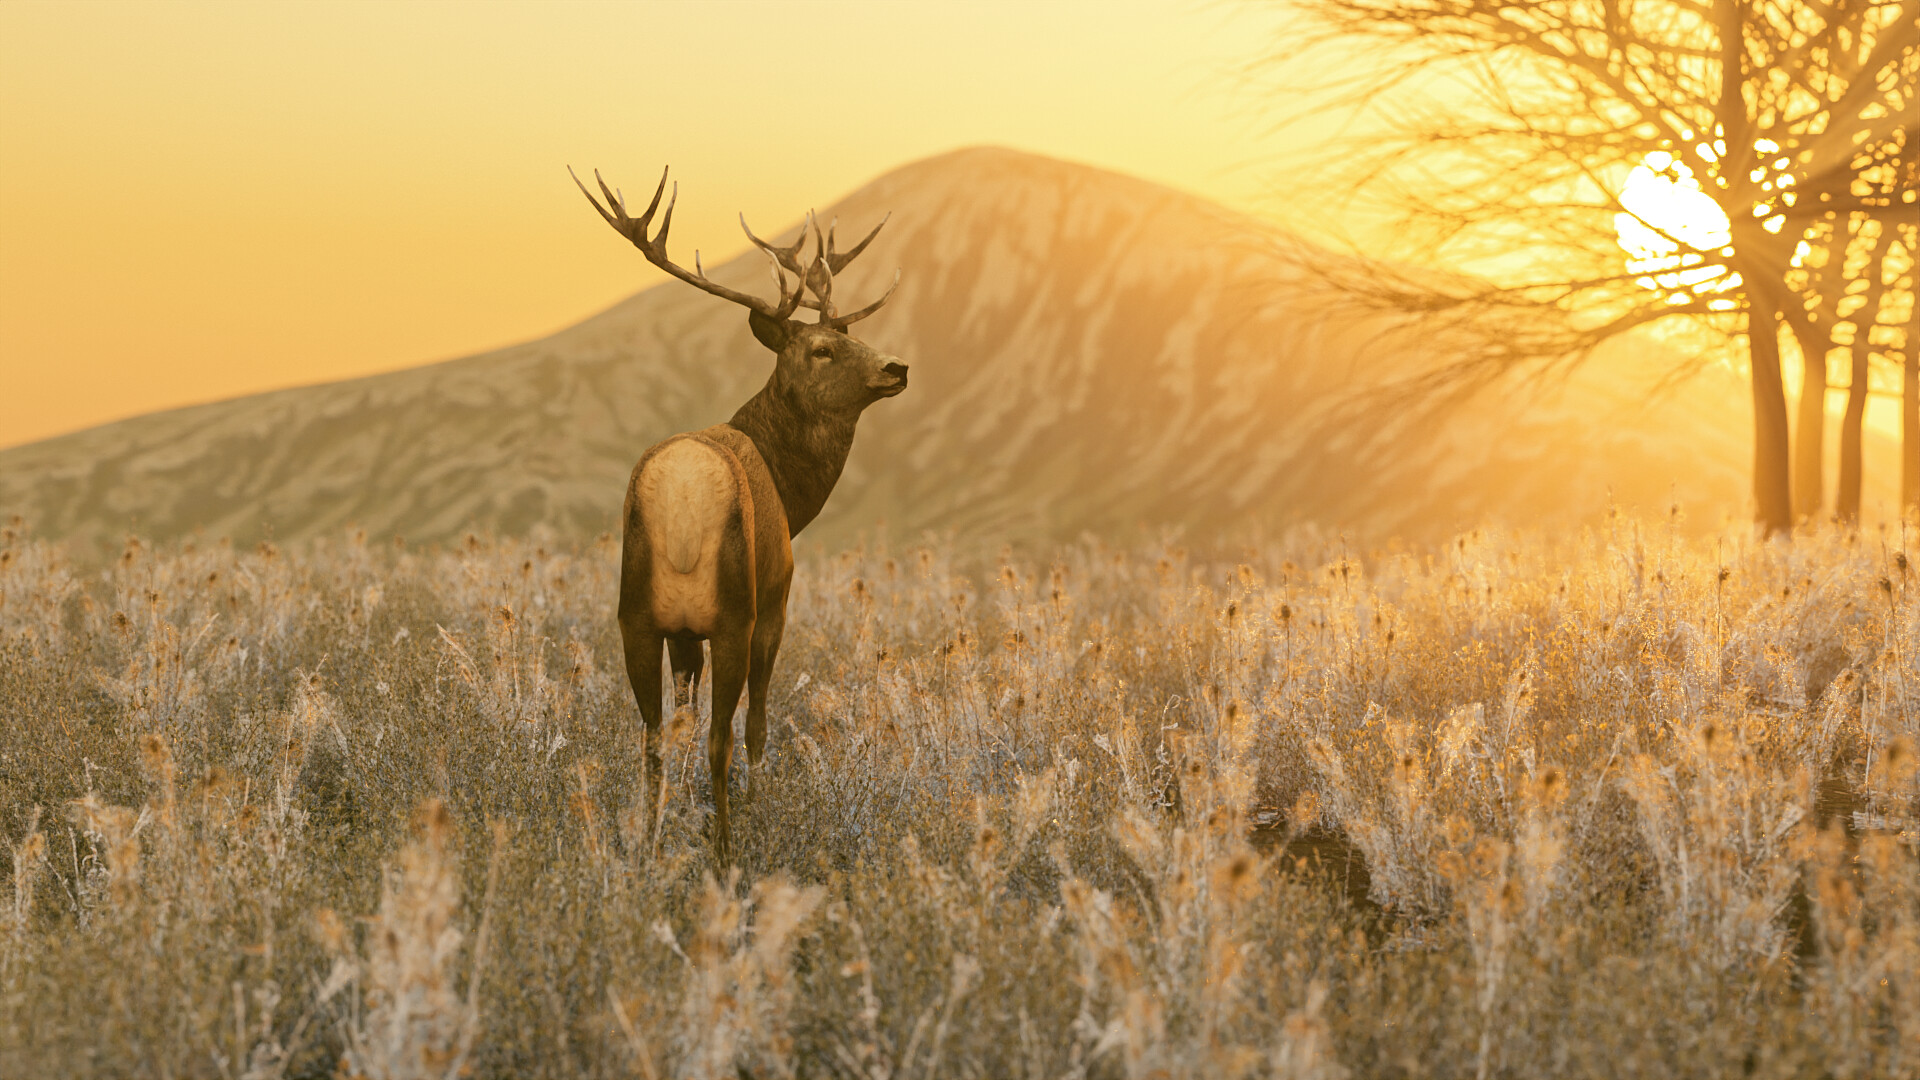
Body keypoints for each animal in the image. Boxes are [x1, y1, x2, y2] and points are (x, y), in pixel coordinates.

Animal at [571, 165, 907, 865]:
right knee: (725, 735)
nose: (898, 366)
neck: (789, 486)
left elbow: (681, 722)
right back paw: (728, 852)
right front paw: (758, 805)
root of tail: (681, 501)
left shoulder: (679, 633)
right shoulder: (776, 598)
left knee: (652, 736)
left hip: (634, 615)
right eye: (821, 349)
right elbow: (756, 725)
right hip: (733, 610)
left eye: (853, 335)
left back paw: (649, 846)